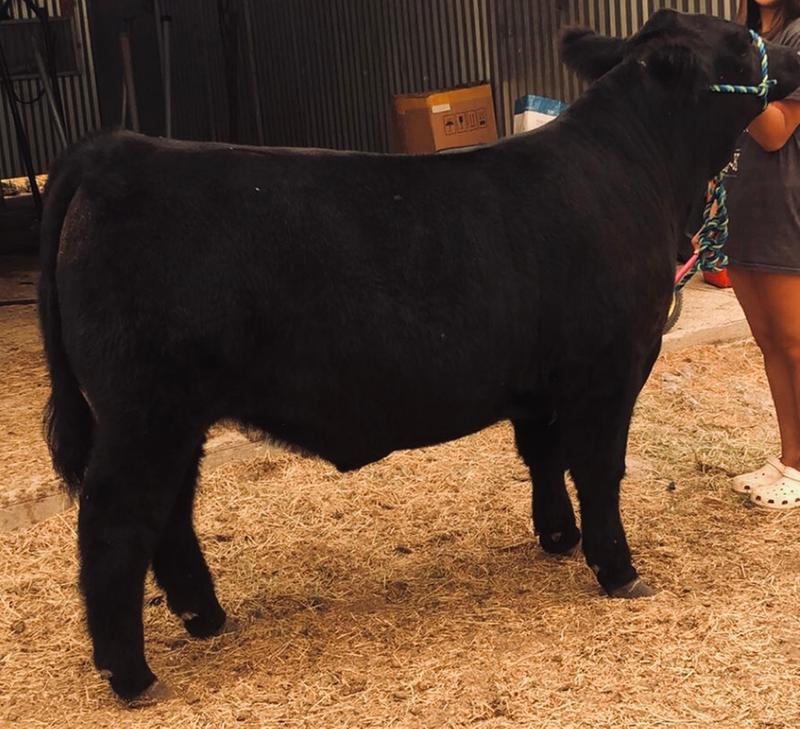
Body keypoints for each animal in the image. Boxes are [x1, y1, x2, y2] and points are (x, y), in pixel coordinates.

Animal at [37, 10, 800, 701]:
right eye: (740, 39)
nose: (793, 54)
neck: (639, 171)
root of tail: (119, 148)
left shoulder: (540, 381)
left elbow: (543, 455)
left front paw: (557, 537)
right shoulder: (610, 369)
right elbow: (598, 469)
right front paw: (616, 569)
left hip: (173, 416)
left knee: (170, 513)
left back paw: (205, 617)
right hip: (144, 412)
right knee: (115, 523)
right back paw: (132, 676)